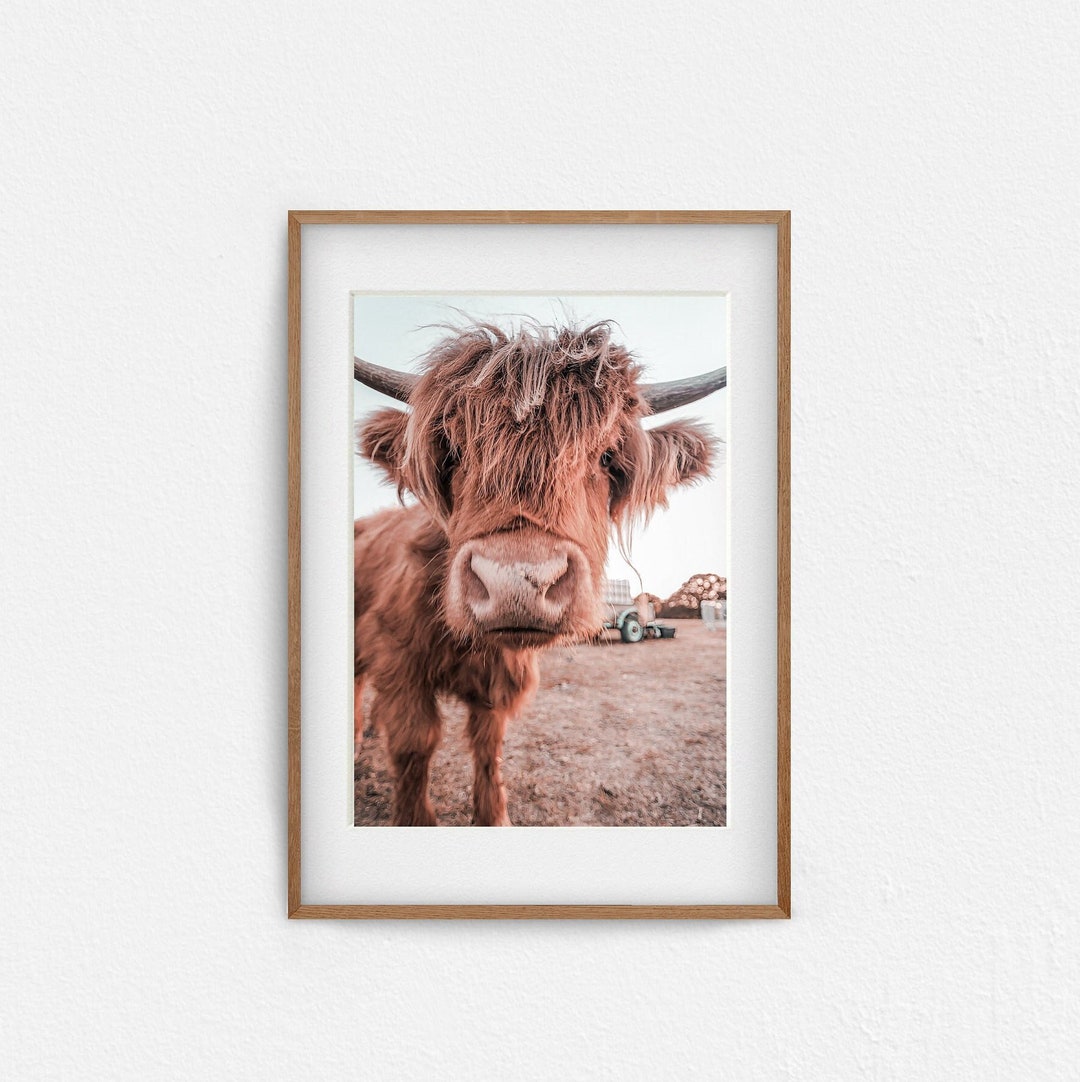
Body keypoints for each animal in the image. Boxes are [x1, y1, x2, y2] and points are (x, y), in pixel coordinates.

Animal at [353, 319, 725, 825]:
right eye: (451, 452)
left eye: (607, 457)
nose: (517, 584)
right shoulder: (399, 661)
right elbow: (415, 746)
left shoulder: (499, 683)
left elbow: (488, 748)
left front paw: (494, 816)